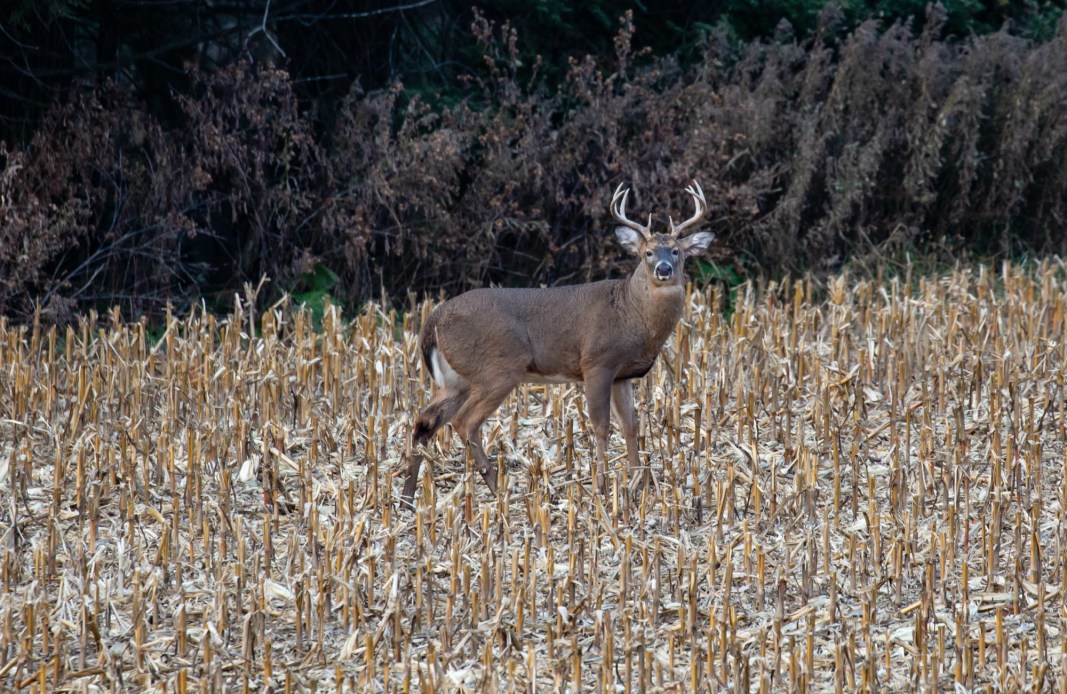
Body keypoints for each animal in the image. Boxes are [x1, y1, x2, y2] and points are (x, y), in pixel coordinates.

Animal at [401, 181, 715, 507]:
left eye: (676, 251)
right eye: (647, 252)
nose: (664, 269)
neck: (632, 312)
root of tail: (433, 319)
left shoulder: (622, 375)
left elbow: (630, 425)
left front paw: (642, 485)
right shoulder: (597, 361)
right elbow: (601, 425)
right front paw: (601, 487)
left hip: (459, 378)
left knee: (425, 420)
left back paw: (407, 497)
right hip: (498, 369)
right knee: (465, 421)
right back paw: (496, 488)